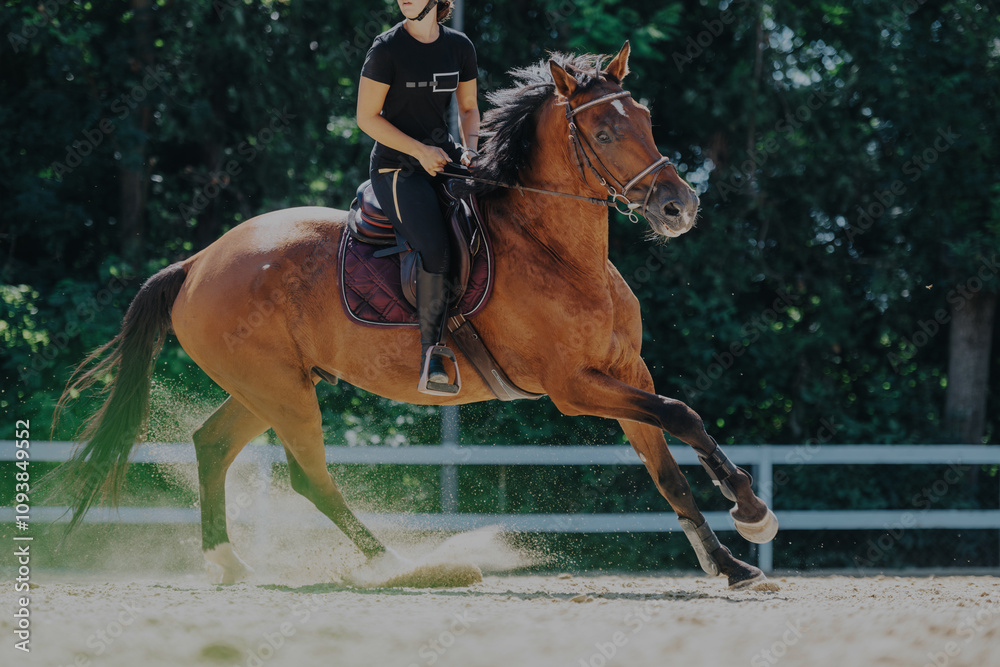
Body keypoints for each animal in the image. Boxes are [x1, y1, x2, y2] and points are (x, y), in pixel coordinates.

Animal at [55, 42, 778, 589]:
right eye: (603, 132)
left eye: (647, 120)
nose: (679, 207)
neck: (559, 254)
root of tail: (200, 261)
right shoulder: (573, 387)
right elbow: (682, 415)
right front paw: (751, 510)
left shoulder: (628, 371)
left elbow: (669, 465)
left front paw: (733, 562)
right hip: (281, 391)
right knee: (309, 477)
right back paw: (405, 565)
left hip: (268, 388)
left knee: (211, 444)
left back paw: (229, 562)